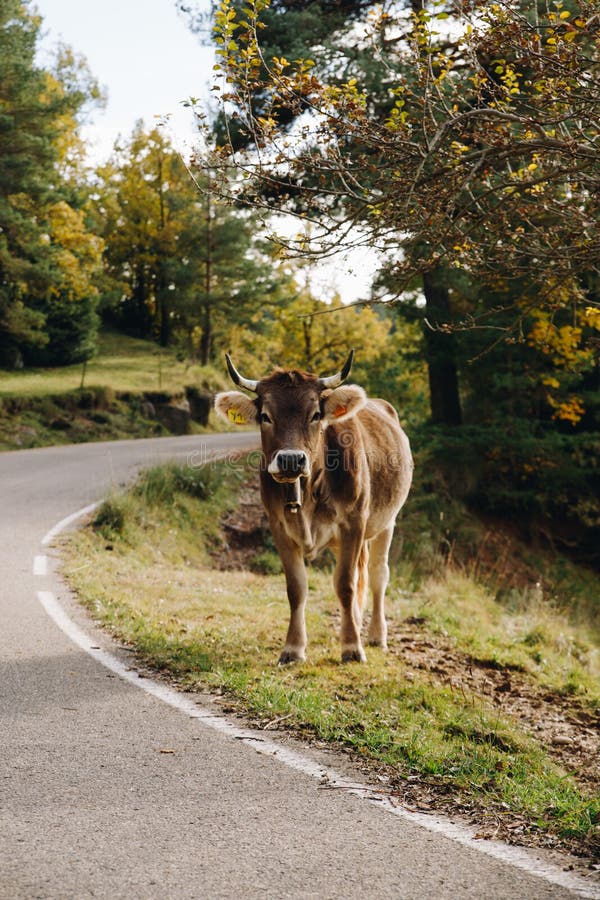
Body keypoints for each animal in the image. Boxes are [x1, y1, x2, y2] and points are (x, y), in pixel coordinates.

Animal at [214, 351, 413, 664]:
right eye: (265, 416)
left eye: (315, 415)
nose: (290, 460)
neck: (308, 489)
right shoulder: (279, 526)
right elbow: (297, 588)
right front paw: (293, 648)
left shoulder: (353, 523)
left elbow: (345, 584)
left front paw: (352, 647)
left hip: (386, 521)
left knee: (378, 575)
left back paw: (375, 635)